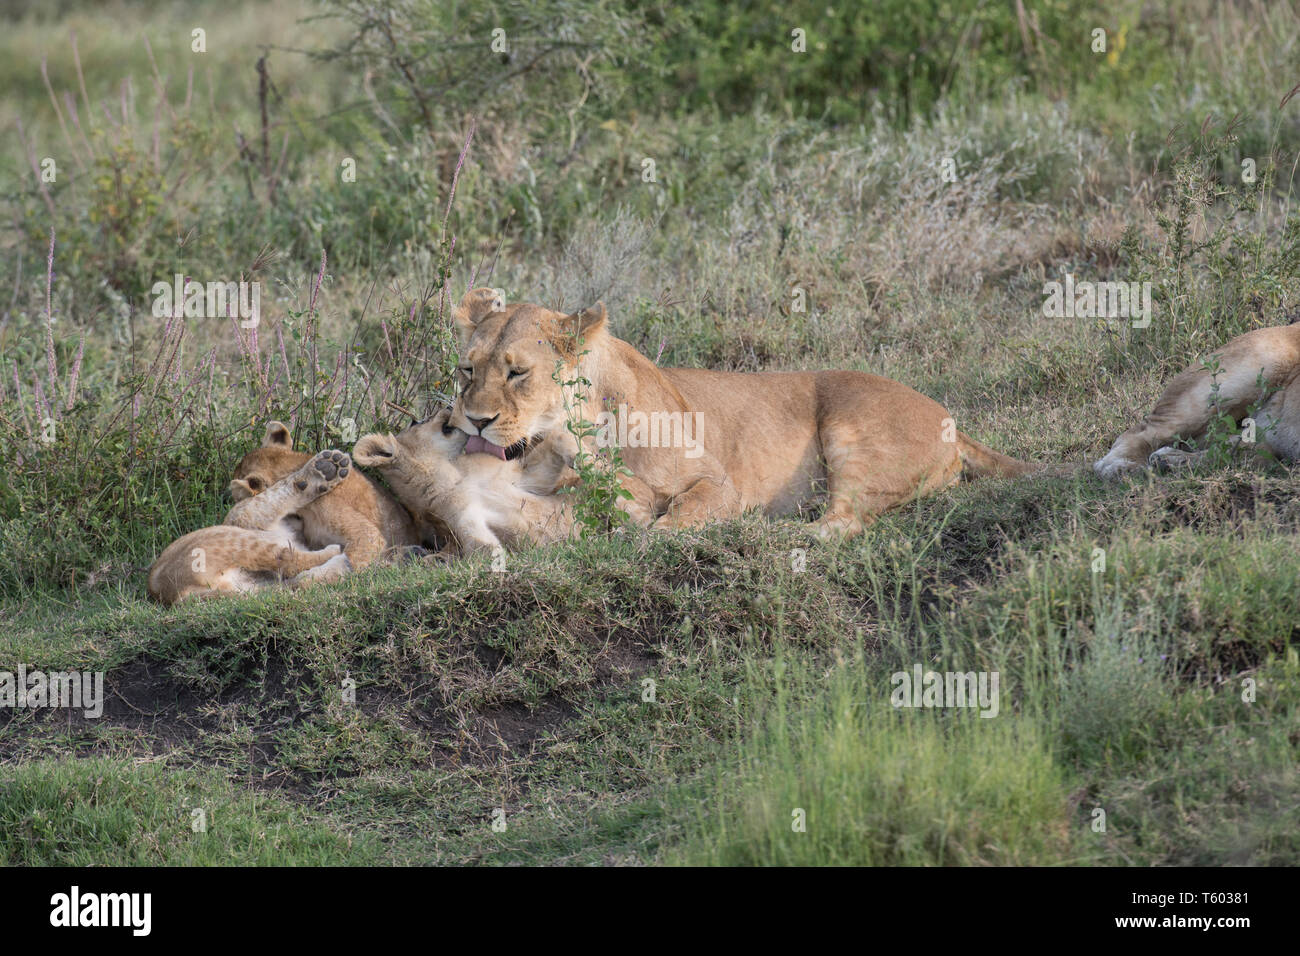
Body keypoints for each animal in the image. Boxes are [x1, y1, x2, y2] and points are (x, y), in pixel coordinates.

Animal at [353, 407, 574, 555]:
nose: (450, 407)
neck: (455, 475)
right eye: (415, 422)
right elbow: (484, 546)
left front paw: (580, 458)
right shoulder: (462, 517)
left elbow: (556, 439)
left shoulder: (521, 478)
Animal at [446, 287, 1039, 536]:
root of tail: (953, 422)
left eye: (517, 373)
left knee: (844, 522)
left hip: (851, 431)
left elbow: (675, 520)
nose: (473, 421)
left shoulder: (719, 484)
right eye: (466, 370)